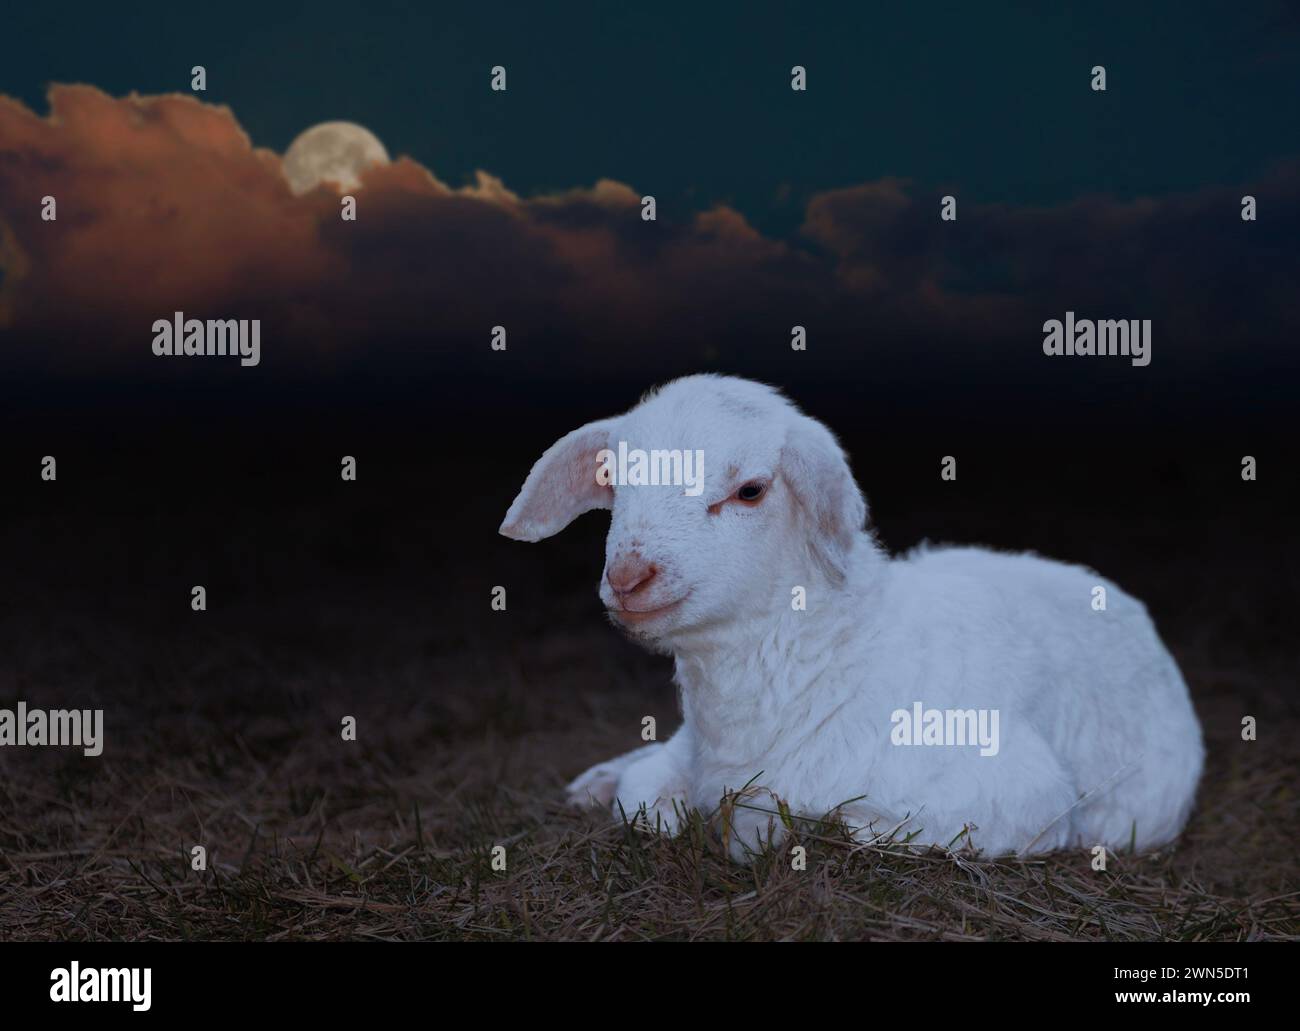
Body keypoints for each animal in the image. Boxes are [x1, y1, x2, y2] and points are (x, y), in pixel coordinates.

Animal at [500, 374, 1204, 861]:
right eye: (616, 480)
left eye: (750, 490)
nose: (628, 576)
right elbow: (643, 797)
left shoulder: (1026, 797)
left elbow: (839, 823)